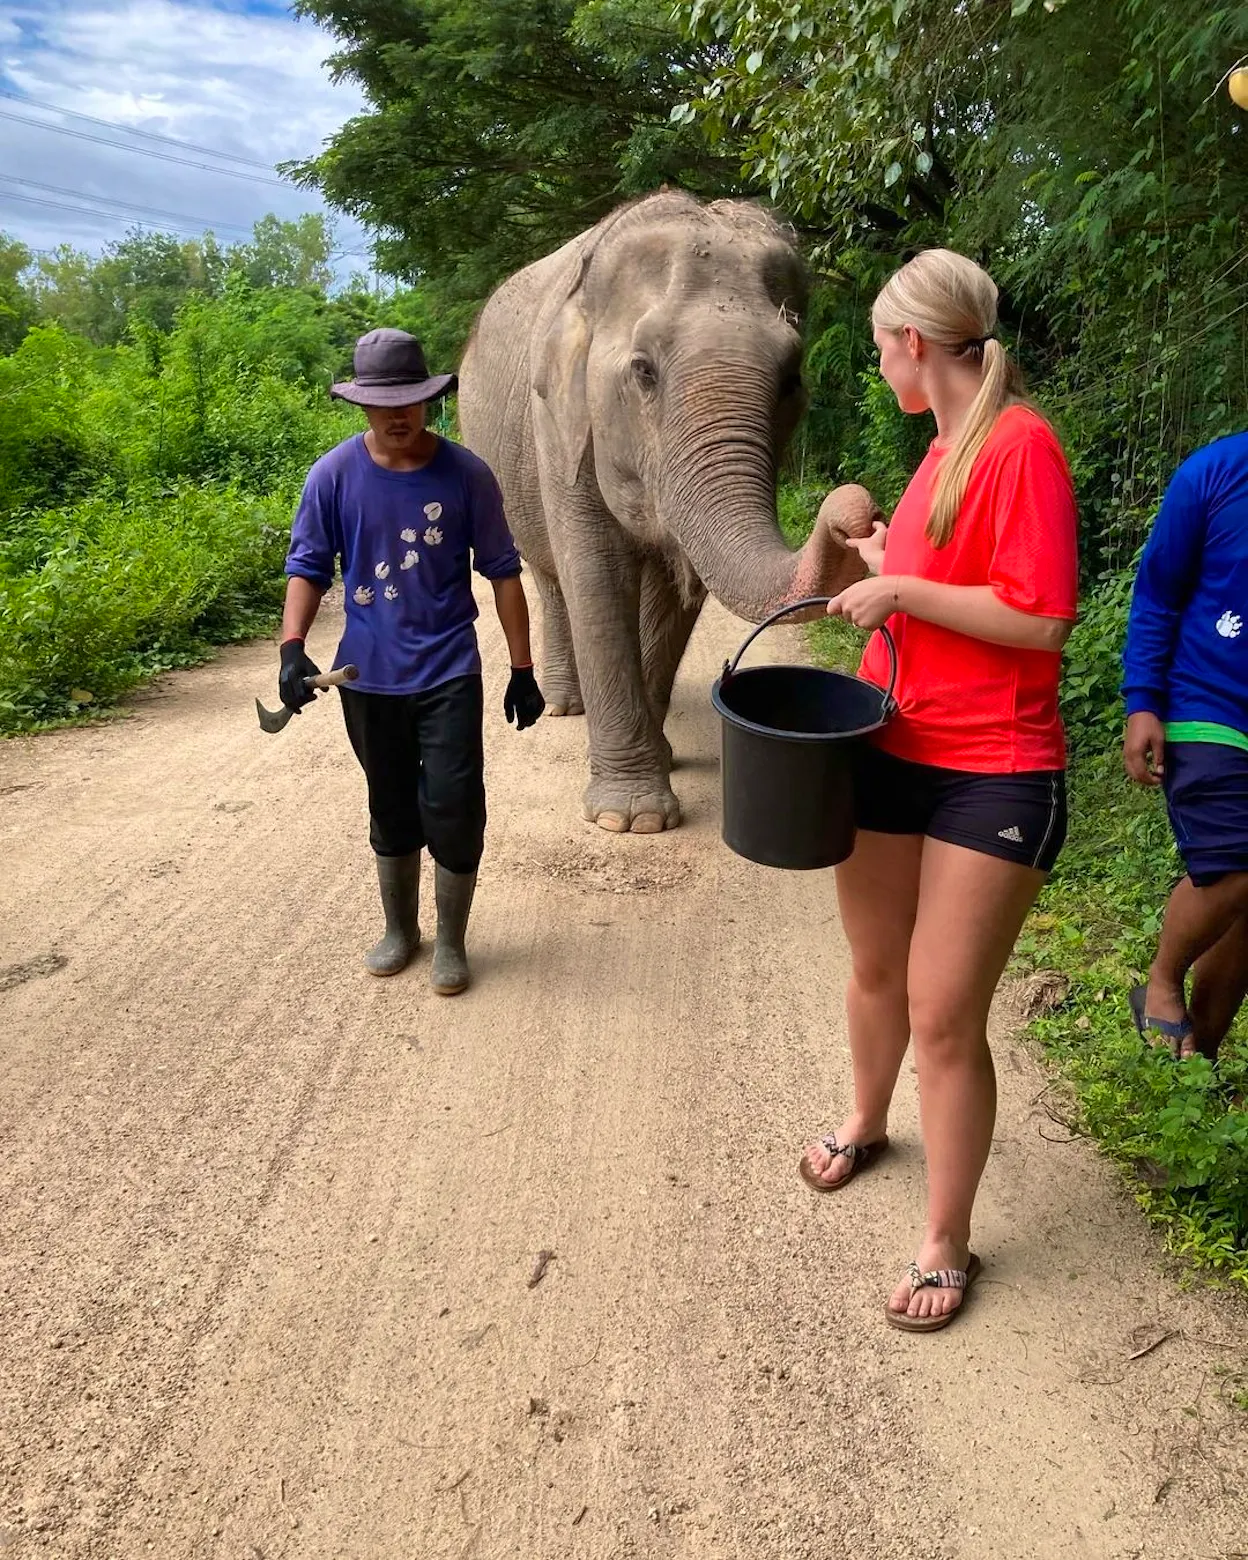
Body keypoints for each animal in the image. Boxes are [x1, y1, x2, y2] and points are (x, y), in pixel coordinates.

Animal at [458, 190, 877, 834]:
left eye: (792, 379)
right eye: (643, 371)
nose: (854, 511)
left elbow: (676, 594)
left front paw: (660, 772)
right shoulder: (561, 427)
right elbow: (598, 578)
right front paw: (628, 821)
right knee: (549, 578)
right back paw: (563, 706)